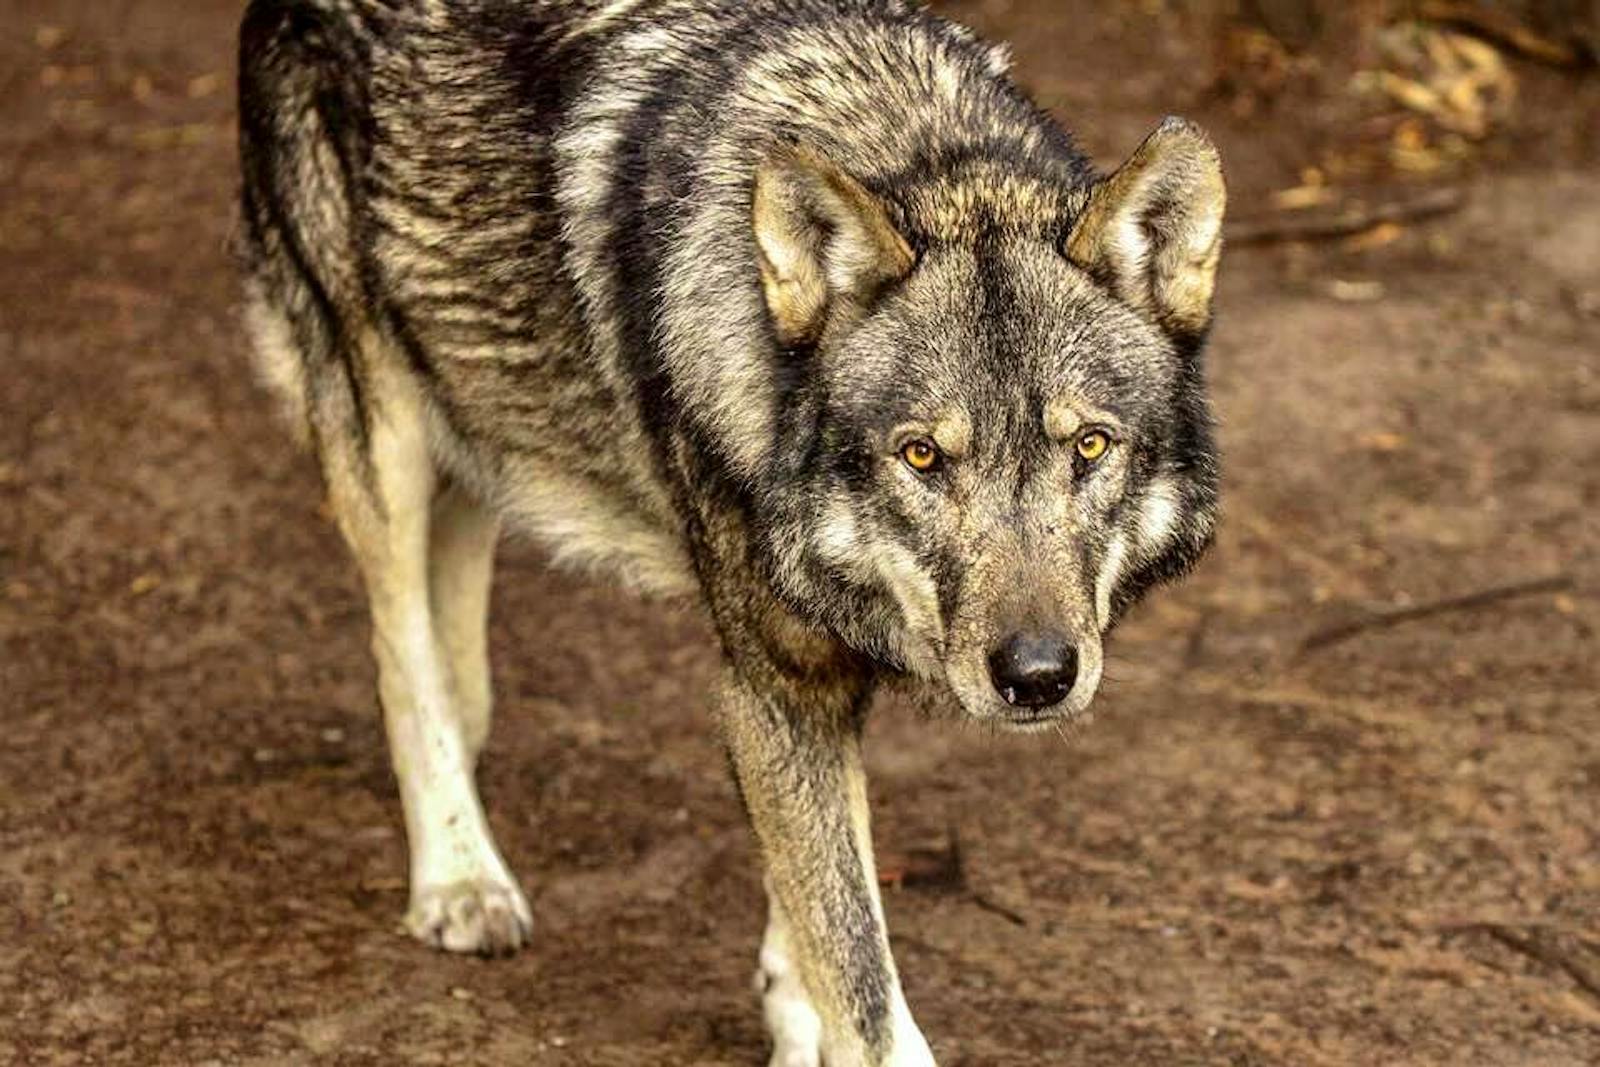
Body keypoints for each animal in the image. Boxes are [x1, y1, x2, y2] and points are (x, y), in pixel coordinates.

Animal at [237, 0, 1224, 1062]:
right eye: (921, 455)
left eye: (1089, 445)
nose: (1037, 675)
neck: (905, 145)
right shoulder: (772, 681)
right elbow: (863, 980)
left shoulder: (812, 682)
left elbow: (816, 894)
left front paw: (790, 1007)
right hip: (381, 427)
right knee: (401, 650)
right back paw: (460, 877)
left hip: (473, 408)